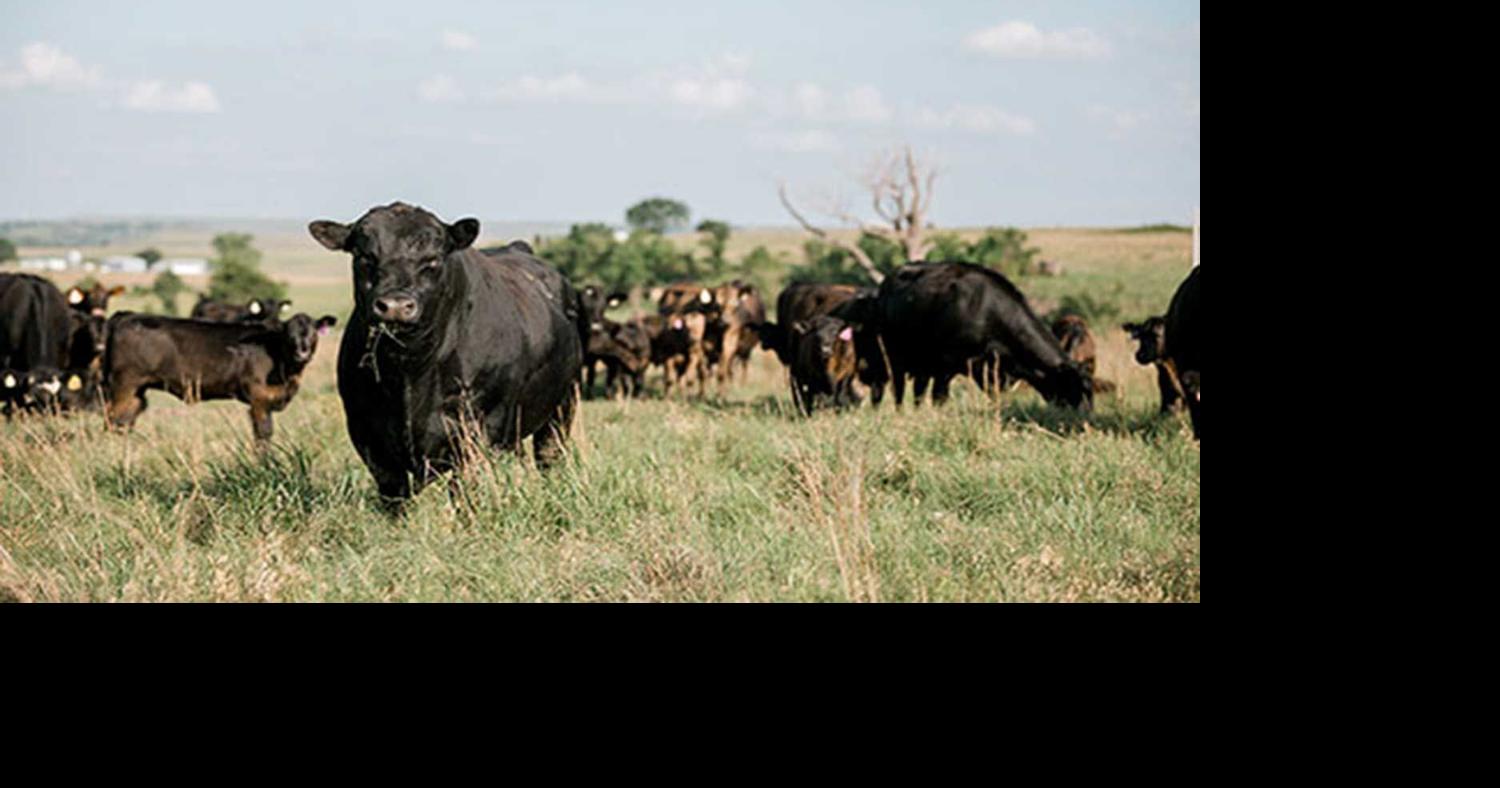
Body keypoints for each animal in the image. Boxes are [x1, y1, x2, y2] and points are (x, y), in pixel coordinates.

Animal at [103, 312, 337, 443]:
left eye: (313, 332)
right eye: (289, 334)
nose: (302, 352)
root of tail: (126, 316)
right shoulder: (259, 399)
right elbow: (263, 434)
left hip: (136, 391)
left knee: (124, 421)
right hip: (124, 385)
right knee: (111, 419)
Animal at [308, 202, 583, 504]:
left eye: (433, 260)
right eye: (364, 255)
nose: (395, 306)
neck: (409, 368)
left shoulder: (479, 428)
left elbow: (465, 490)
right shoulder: (366, 431)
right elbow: (394, 494)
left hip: (562, 407)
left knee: (549, 456)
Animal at [871, 262, 1092, 410]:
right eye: (1075, 387)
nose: (1083, 418)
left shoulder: (991, 373)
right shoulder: (946, 366)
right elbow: (939, 397)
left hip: (923, 363)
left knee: (917, 390)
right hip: (894, 357)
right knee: (898, 390)